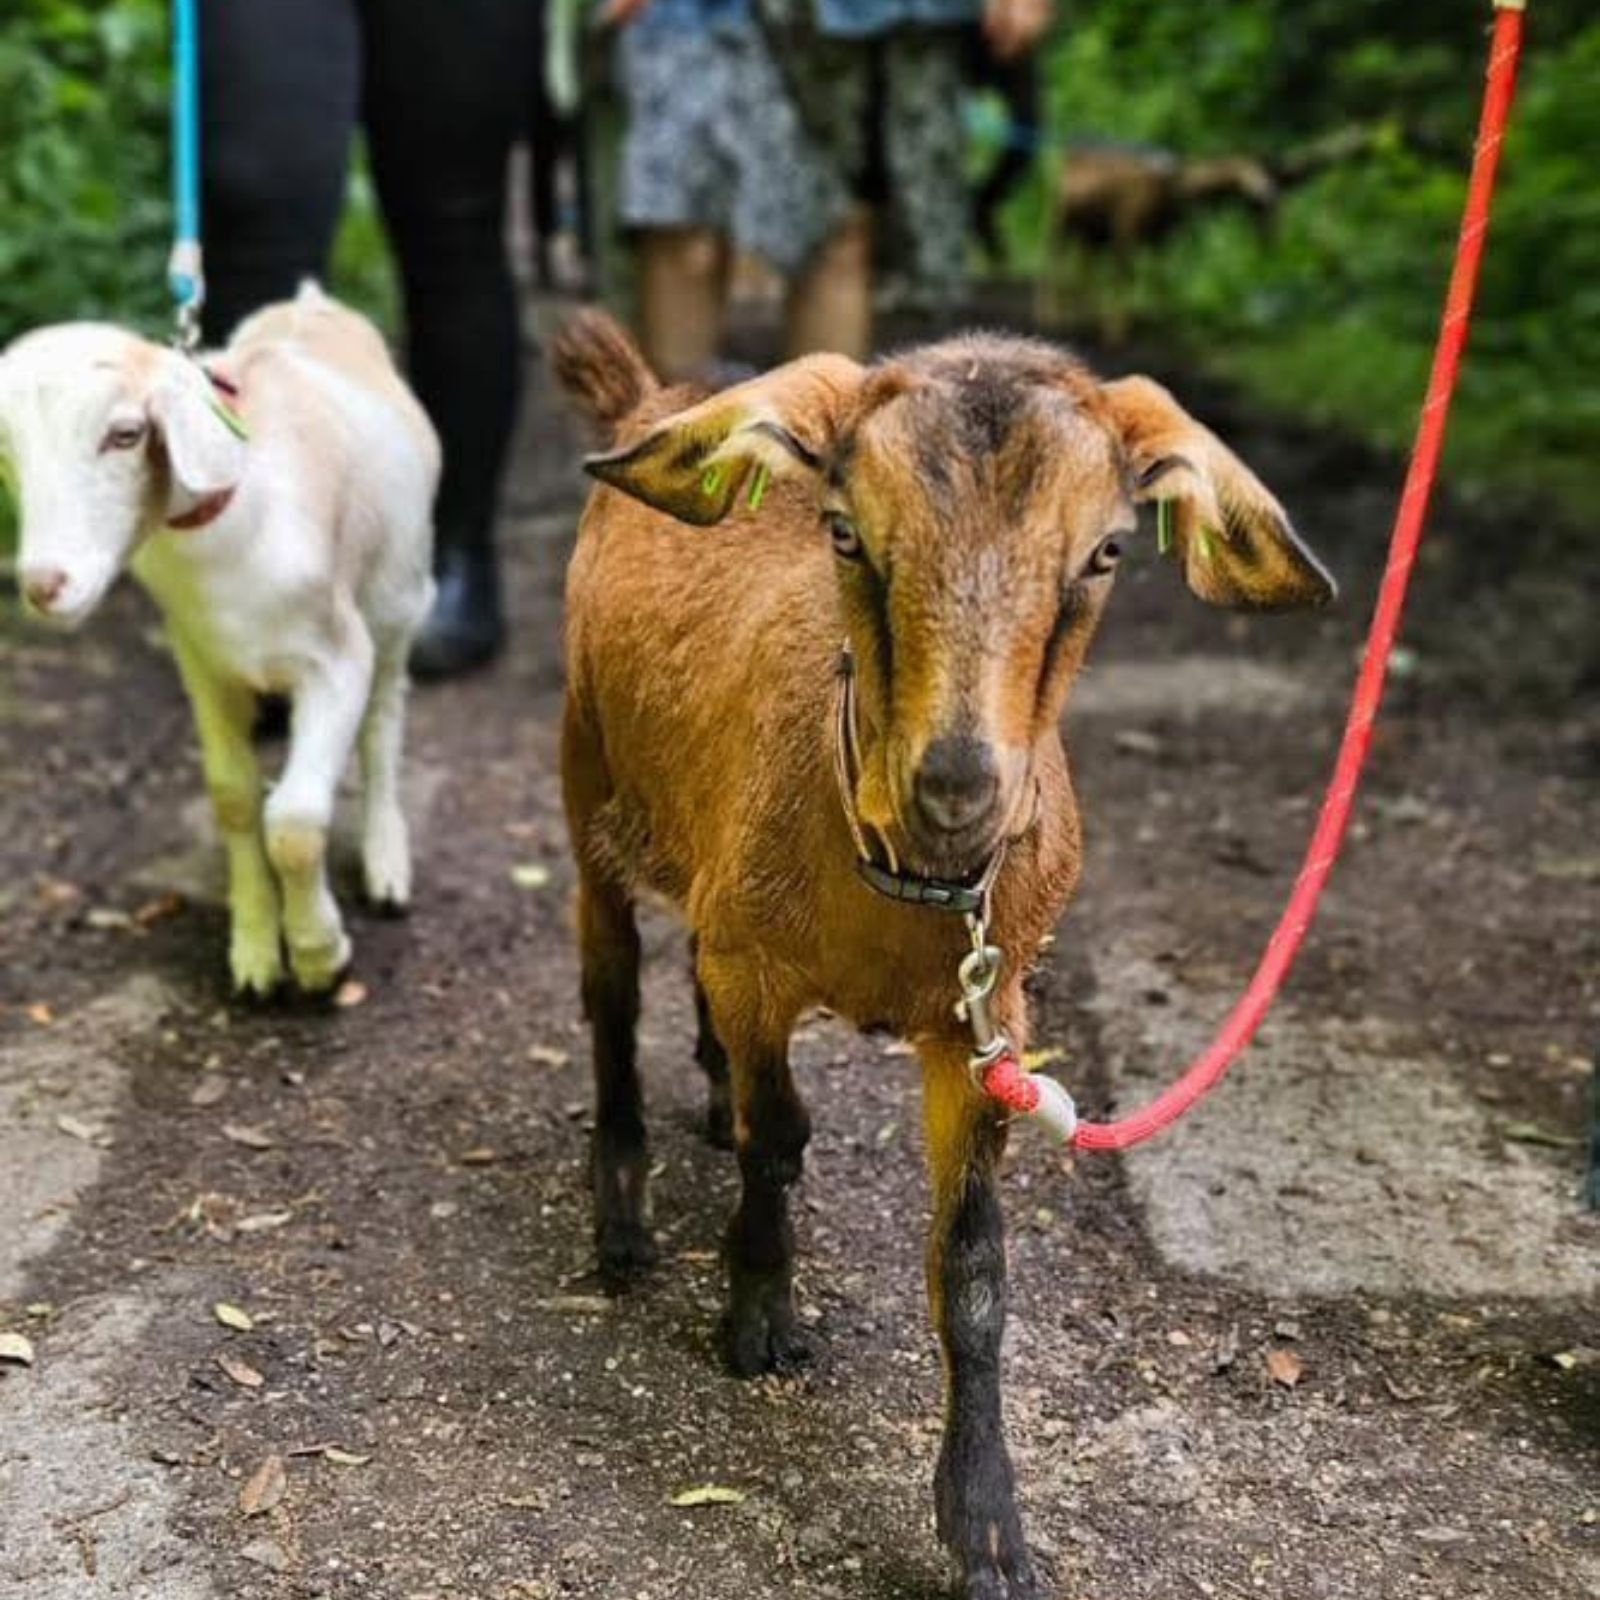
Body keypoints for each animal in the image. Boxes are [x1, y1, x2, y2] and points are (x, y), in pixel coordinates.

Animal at [0, 284, 439, 996]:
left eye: (125, 435)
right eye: (8, 453)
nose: (44, 585)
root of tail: (311, 302)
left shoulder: (336, 658)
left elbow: (294, 821)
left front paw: (318, 954)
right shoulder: (203, 662)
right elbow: (232, 798)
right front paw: (257, 950)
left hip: (398, 600)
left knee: (383, 722)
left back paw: (386, 863)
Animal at [553, 310, 1333, 1597]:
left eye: (1105, 552)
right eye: (844, 531)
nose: (960, 787)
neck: (898, 875)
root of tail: (645, 395)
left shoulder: (987, 1021)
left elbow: (972, 1263)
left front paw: (987, 1525)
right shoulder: (760, 969)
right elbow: (778, 1141)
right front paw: (758, 1315)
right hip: (586, 790)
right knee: (610, 997)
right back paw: (620, 1210)